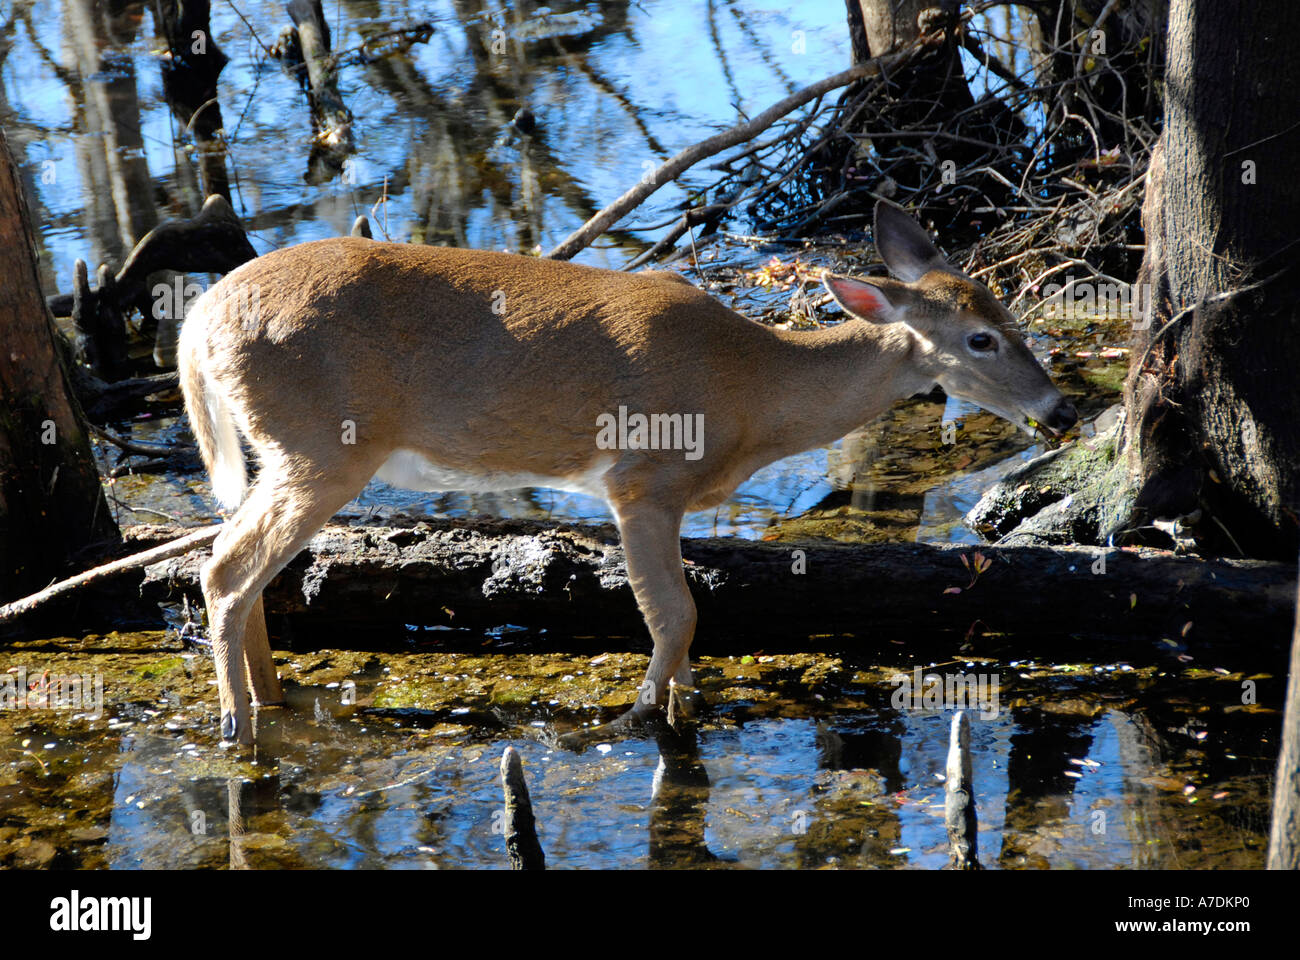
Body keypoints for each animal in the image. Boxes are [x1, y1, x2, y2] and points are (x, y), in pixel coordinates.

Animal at [178, 200, 1077, 746]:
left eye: (1009, 313)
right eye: (981, 341)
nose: (1062, 410)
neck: (752, 392)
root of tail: (195, 323)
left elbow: (687, 615)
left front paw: (688, 701)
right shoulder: (642, 480)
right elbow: (675, 614)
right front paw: (649, 712)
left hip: (286, 450)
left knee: (240, 566)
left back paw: (271, 701)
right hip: (322, 445)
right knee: (224, 570)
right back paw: (236, 727)